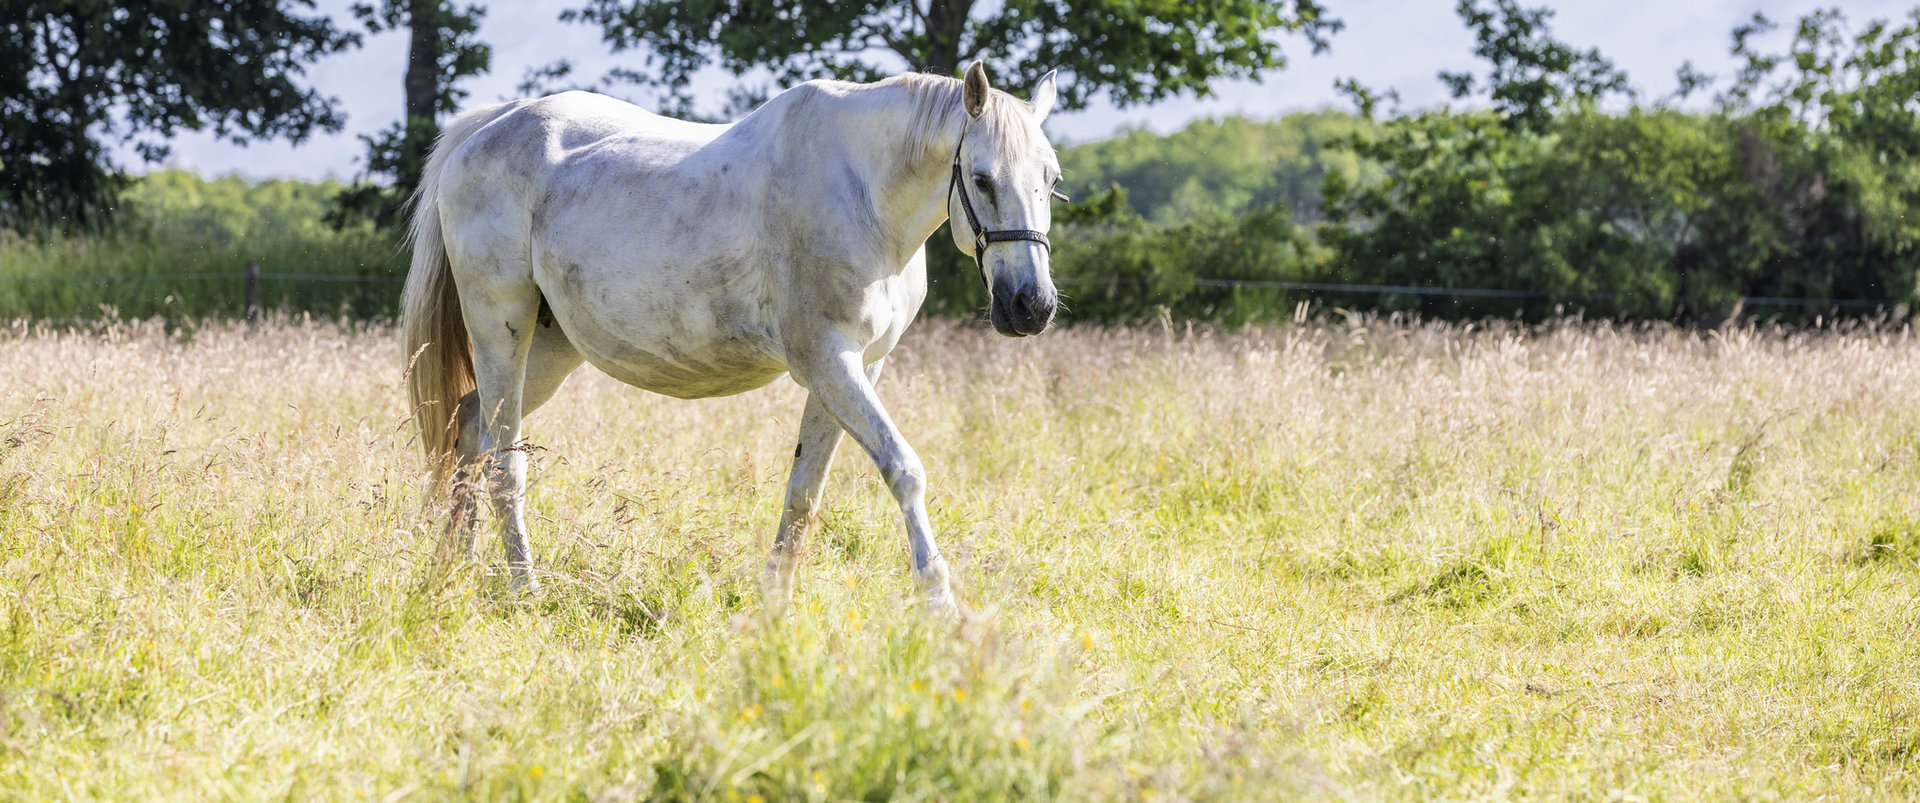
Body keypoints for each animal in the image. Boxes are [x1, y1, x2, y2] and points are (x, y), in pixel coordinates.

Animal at [400, 62, 1065, 614]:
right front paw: (939, 603)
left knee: (471, 431)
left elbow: (804, 493)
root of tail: (489, 129)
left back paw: (453, 570)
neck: (863, 195)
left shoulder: (855, 370)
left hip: (548, 349)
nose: (1030, 306)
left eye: (1051, 179)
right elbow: (903, 468)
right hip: (500, 329)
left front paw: (775, 604)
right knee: (504, 463)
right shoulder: (830, 362)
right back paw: (525, 590)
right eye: (981, 178)